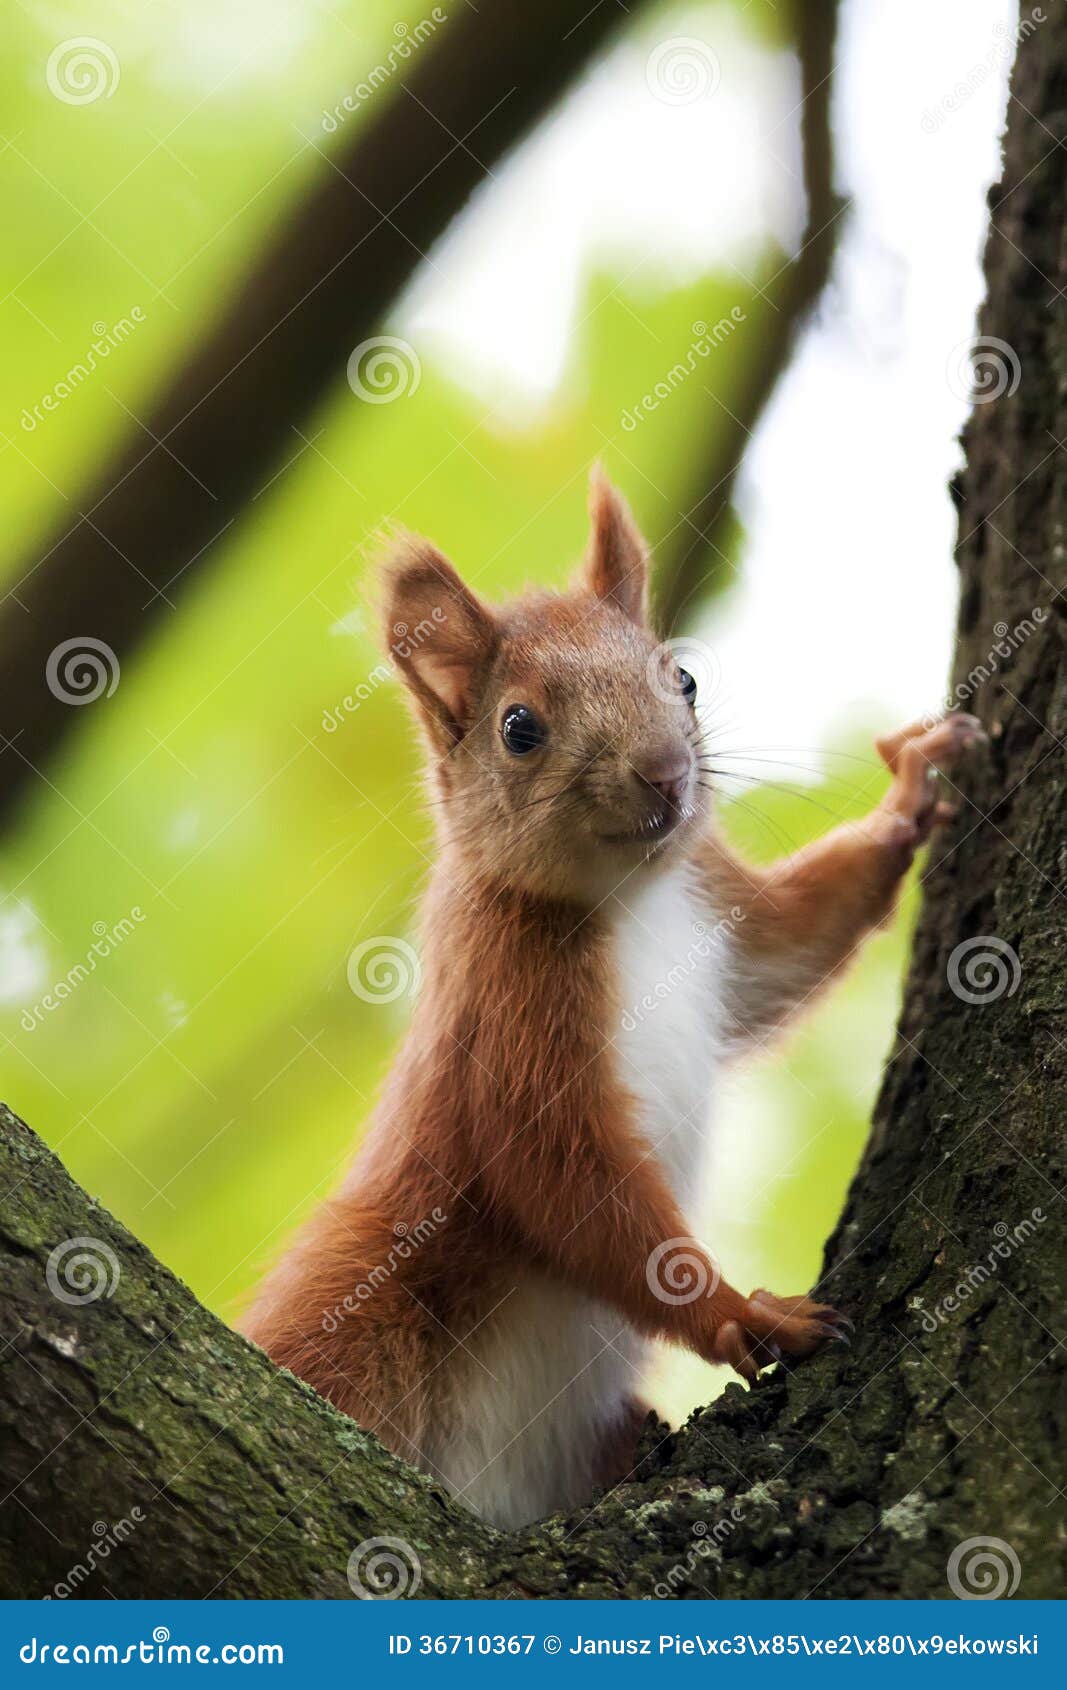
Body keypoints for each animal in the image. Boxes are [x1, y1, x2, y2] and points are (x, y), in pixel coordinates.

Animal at [242, 468, 983, 1531]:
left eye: (682, 679)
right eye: (519, 729)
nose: (665, 773)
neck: (629, 900)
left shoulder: (721, 927)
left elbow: (794, 944)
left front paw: (910, 793)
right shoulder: (505, 1009)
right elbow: (563, 1172)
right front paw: (743, 1314)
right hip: (366, 1321)